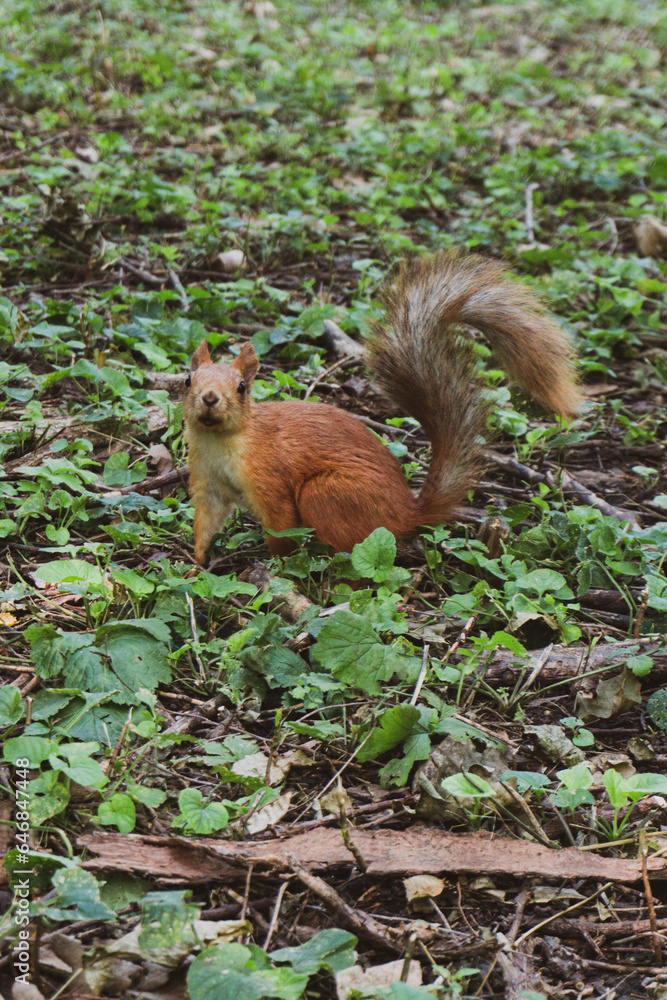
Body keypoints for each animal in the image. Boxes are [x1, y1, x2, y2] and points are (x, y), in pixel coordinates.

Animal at [183, 250, 580, 565]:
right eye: (188, 380)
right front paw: (196, 565)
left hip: (328, 495)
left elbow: (281, 529)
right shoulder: (207, 482)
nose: (209, 397)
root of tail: (405, 514)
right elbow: (206, 524)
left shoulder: (268, 477)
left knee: (352, 556)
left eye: (242, 387)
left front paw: (277, 567)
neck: (220, 442)